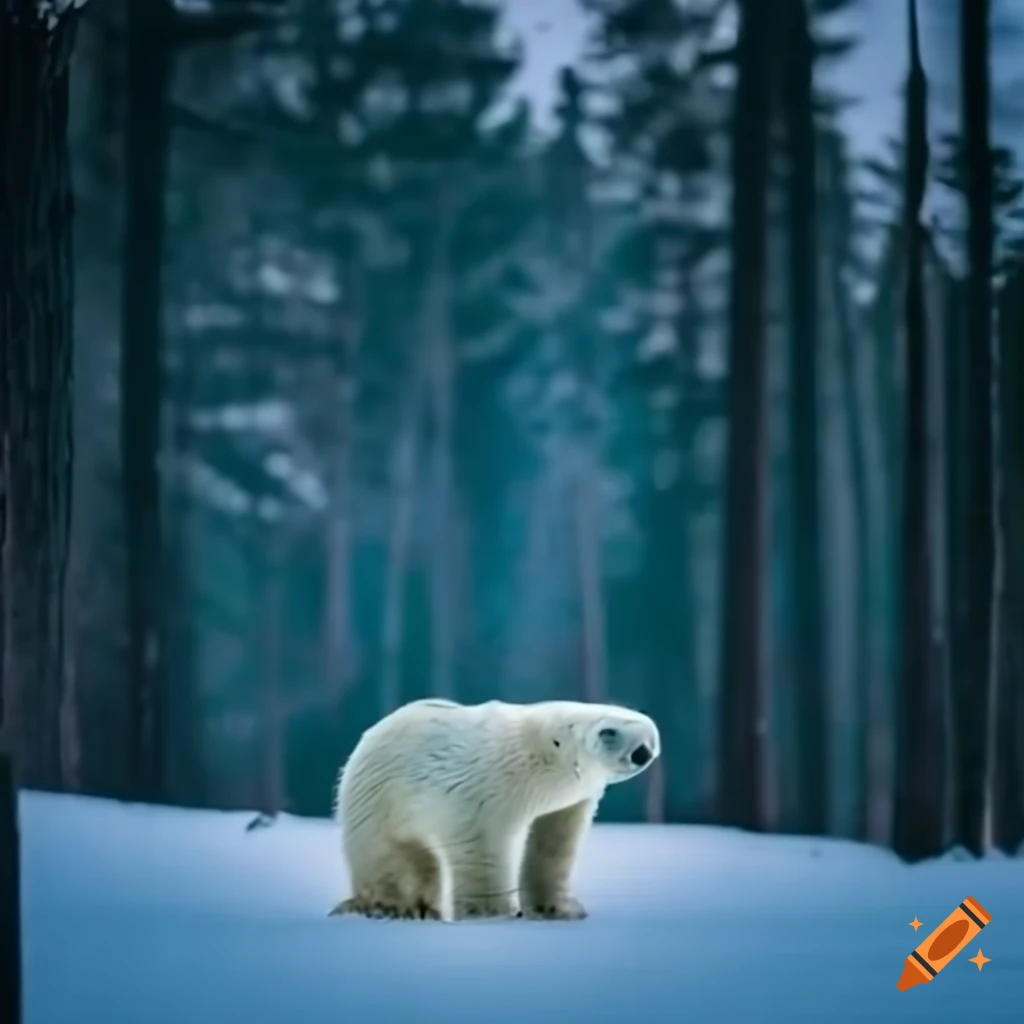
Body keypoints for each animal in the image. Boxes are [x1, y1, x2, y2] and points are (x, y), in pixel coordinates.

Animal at [329, 698, 660, 922]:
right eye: (609, 732)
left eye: (652, 739)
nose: (641, 753)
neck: (539, 753)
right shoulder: (482, 790)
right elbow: (482, 849)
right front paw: (493, 913)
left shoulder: (567, 800)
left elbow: (555, 843)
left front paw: (560, 910)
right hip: (378, 807)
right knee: (399, 862)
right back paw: (400, 908)